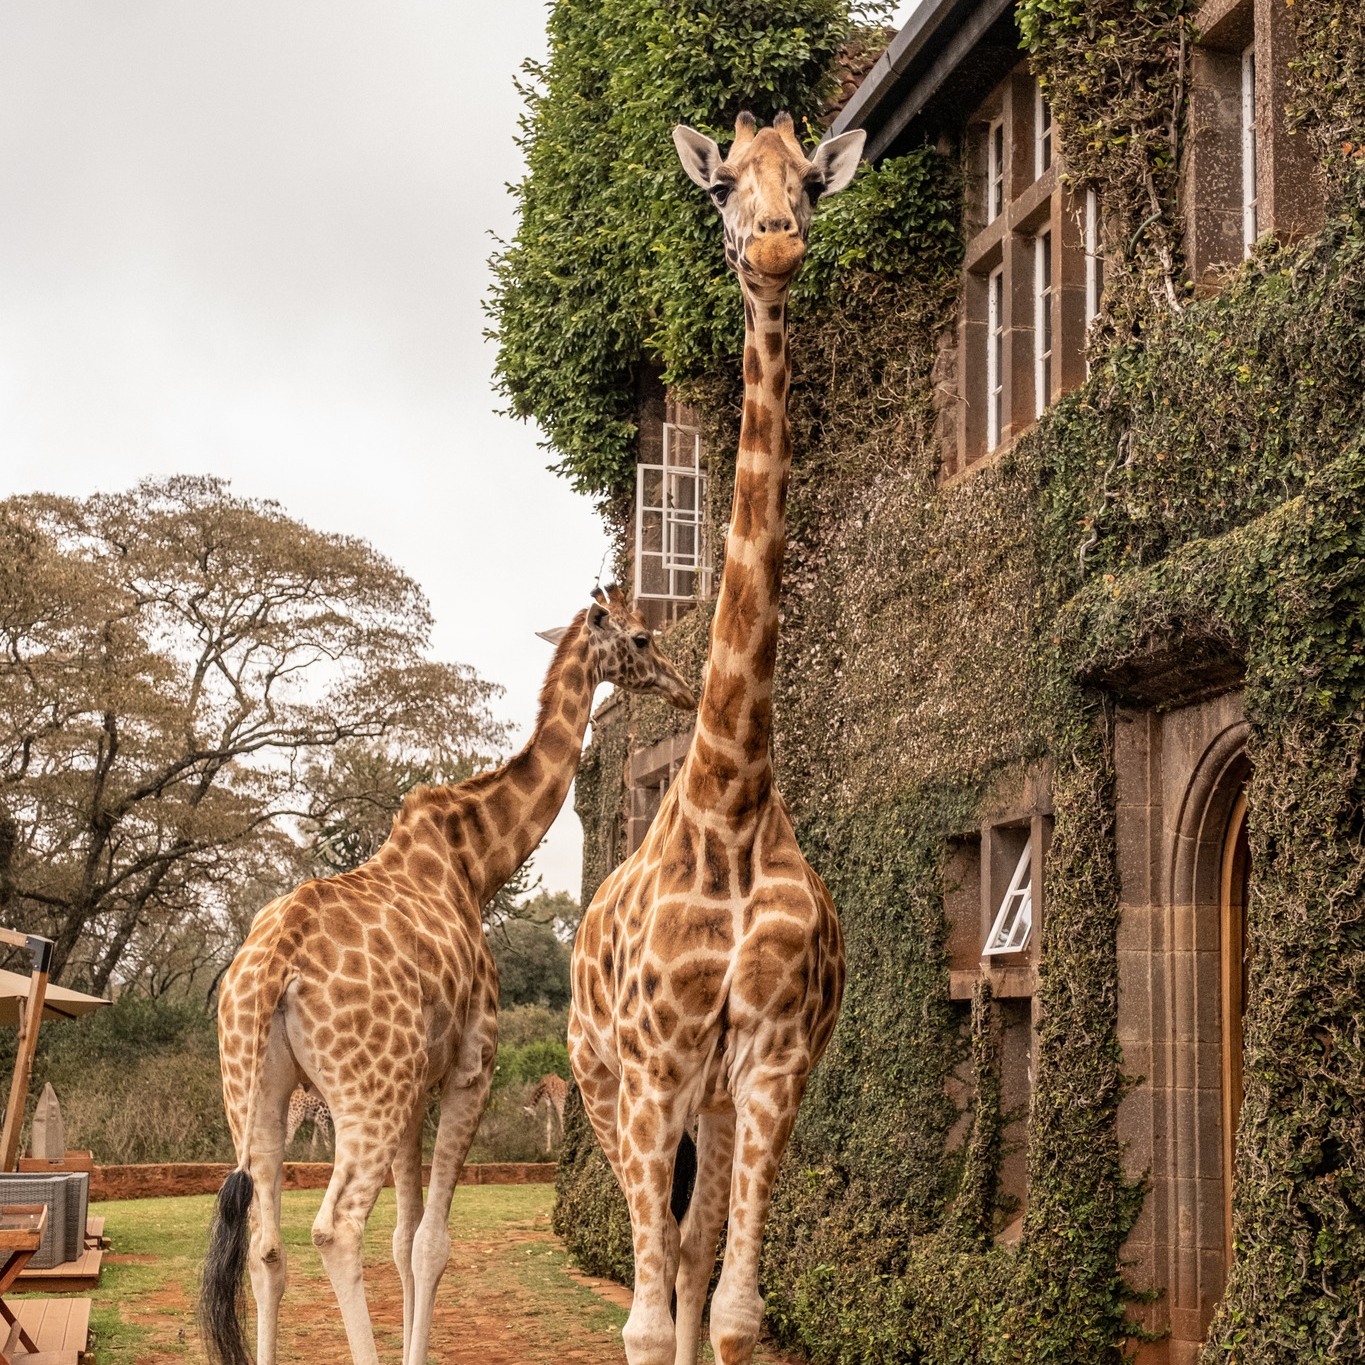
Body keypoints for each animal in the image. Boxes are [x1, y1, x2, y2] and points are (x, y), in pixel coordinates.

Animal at [200, 584, 695, 1365]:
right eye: (642, 638)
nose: (682, 688)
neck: (474, 861)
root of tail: (275, 957)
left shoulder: (413, 1093)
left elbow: (403, 1243)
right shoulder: (468, 1070)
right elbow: (430, 1243)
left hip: (255, 1089)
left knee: (265, 1245)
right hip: (362, 1092)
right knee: (334, 1229)